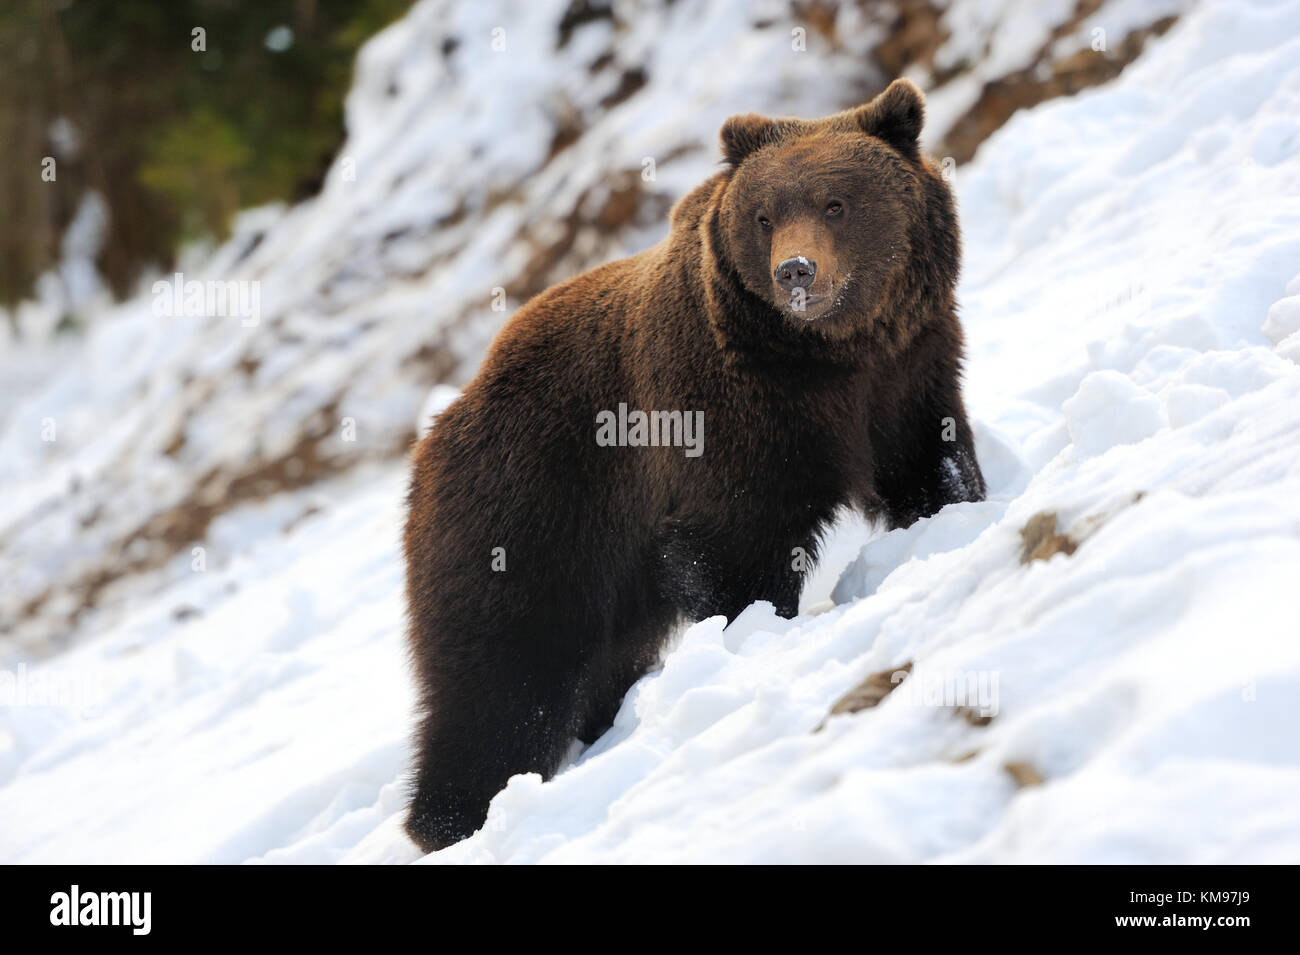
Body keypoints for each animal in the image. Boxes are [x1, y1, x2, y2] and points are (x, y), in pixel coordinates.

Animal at [402, 78, 985, 852]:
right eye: (765, 215)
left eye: (836, 202)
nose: (796, 271)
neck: (831, 357)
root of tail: (434, 434)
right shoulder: (727, 413)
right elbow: (735, 542)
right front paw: (758, 631)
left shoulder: (909, 371)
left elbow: (930, 465)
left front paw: (954, 514)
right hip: (525, 516)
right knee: (498, 682)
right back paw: (454, 816)